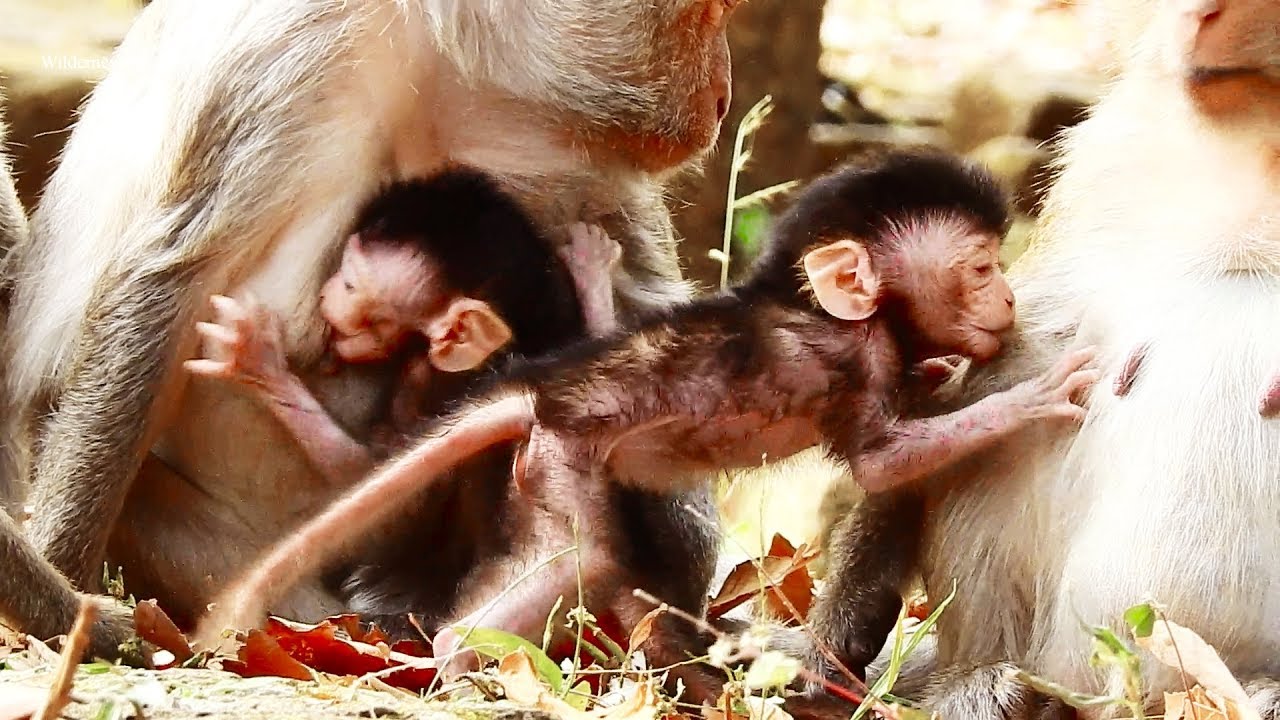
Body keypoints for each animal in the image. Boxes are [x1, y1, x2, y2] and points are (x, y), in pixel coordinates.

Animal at [1, 0, 737, 649]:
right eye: (710, 13)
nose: (725, 96)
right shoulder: (285, 55)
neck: (444, 54)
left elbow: (638, 296)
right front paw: (74, 601)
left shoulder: (570, 137)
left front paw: (673, 592)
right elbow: (167, 277)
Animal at [196, 150, 1100, 686]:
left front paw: (946, 369)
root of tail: (544, 391)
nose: (1007, 299)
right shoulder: (855, 358)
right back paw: (477, 663)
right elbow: (880, 462)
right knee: (589, 558)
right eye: (980, 269)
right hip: (563, 462)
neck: (821, 308)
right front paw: (1032, 396)